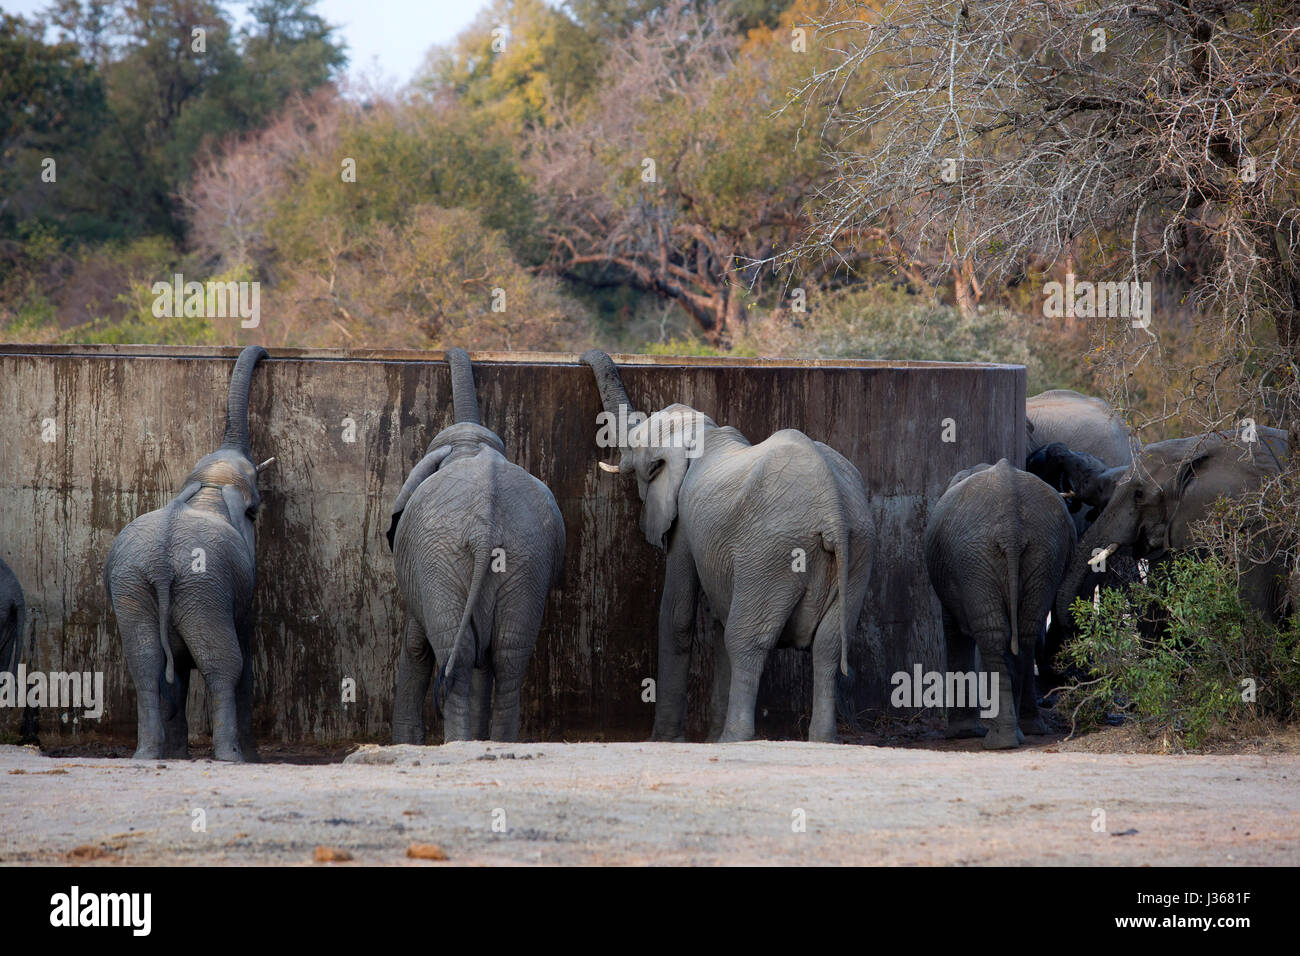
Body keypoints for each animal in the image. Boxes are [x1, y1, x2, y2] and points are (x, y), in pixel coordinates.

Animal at [103, 345, 272, 761]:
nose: (266, 354)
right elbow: (241, 653)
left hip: (134, 587)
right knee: (223, 665)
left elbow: (175, 673)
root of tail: (162, 564)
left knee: (146, 665)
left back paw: (148, 755)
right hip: (203, 589)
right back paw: (232, 758)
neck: (209, 487)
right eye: (255, 509)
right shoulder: (237, 590)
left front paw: (178, 753)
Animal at [388, 348, 565, 744]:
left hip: (441, 561)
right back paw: (497, 741)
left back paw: (457, 743)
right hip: (527, 561)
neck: (469, 446)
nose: (448, 354)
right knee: (508, 655)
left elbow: (416, 645)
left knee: (458, 651)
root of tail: (487, 526)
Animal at [580, 349, 874, 744]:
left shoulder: (684, 520)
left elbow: (678, 615)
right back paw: (823, 740)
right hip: (858, 552)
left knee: (747, 640)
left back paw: (734, 738)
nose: (583, 357)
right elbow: (718, 619)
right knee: (827, 646)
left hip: (772, 554)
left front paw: (667, 741)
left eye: (638, 451)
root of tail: (833, 508)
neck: (703, 433)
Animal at [924, 459, 1077, 749]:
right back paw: (1016, 734)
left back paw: (1000, 741)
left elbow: (954, 632)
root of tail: (1011, 525)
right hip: (1042, 552)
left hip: (975, 559)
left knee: (994, 637)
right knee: (1025, 635)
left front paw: (963, 734)